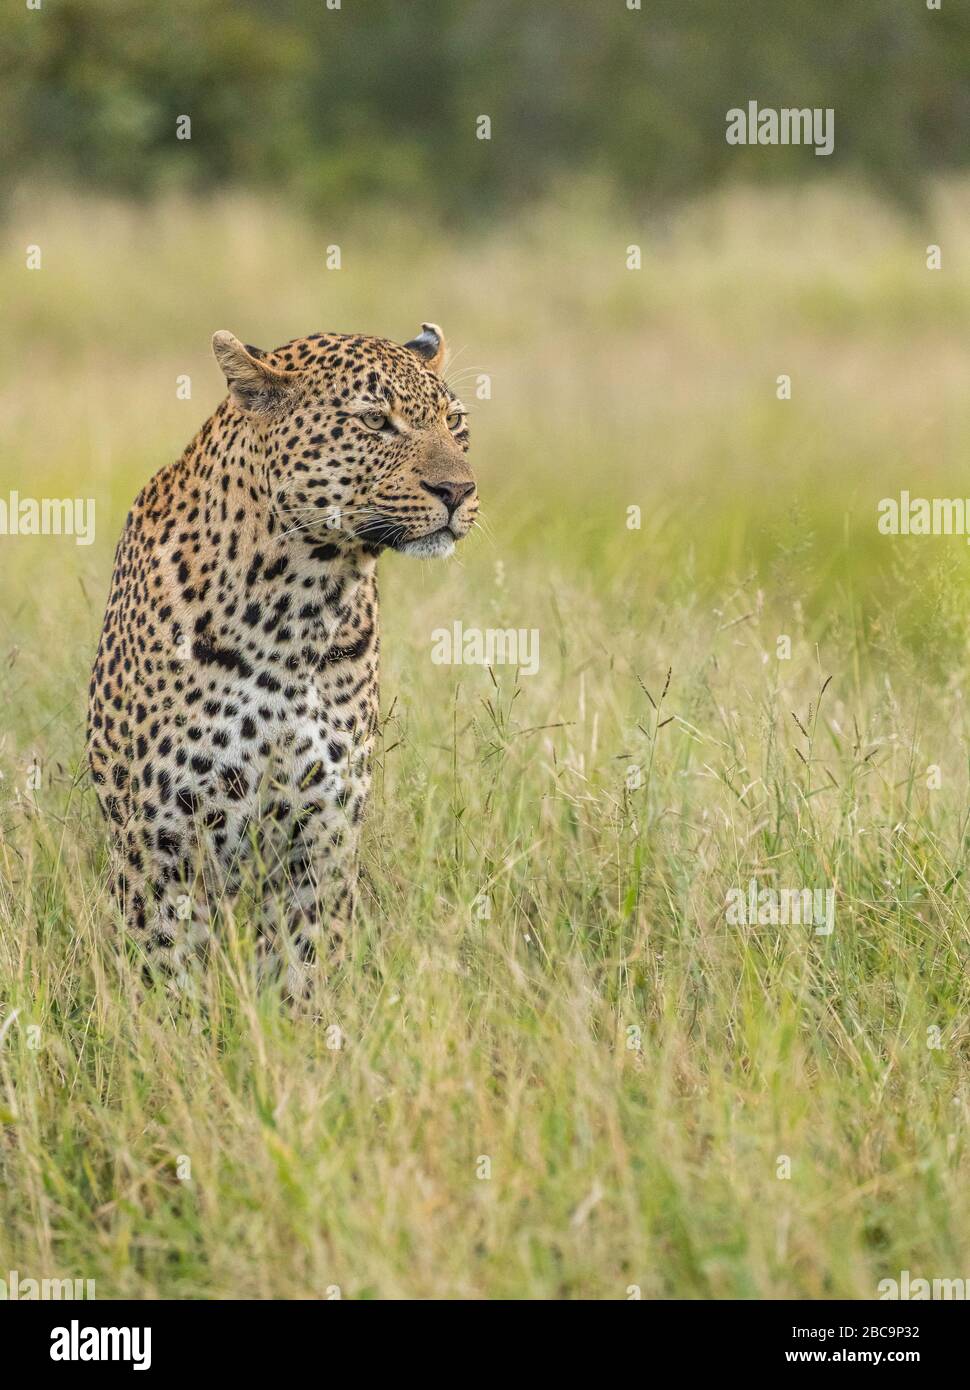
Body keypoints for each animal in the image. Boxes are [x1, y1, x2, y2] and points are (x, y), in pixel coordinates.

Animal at [87, 322, 477, 993]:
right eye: (375, 421)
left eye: (455, 423)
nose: (458, 490)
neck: (300, 606)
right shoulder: (160, 844)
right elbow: (165, 979)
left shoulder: (323, 836)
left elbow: (305, 969)